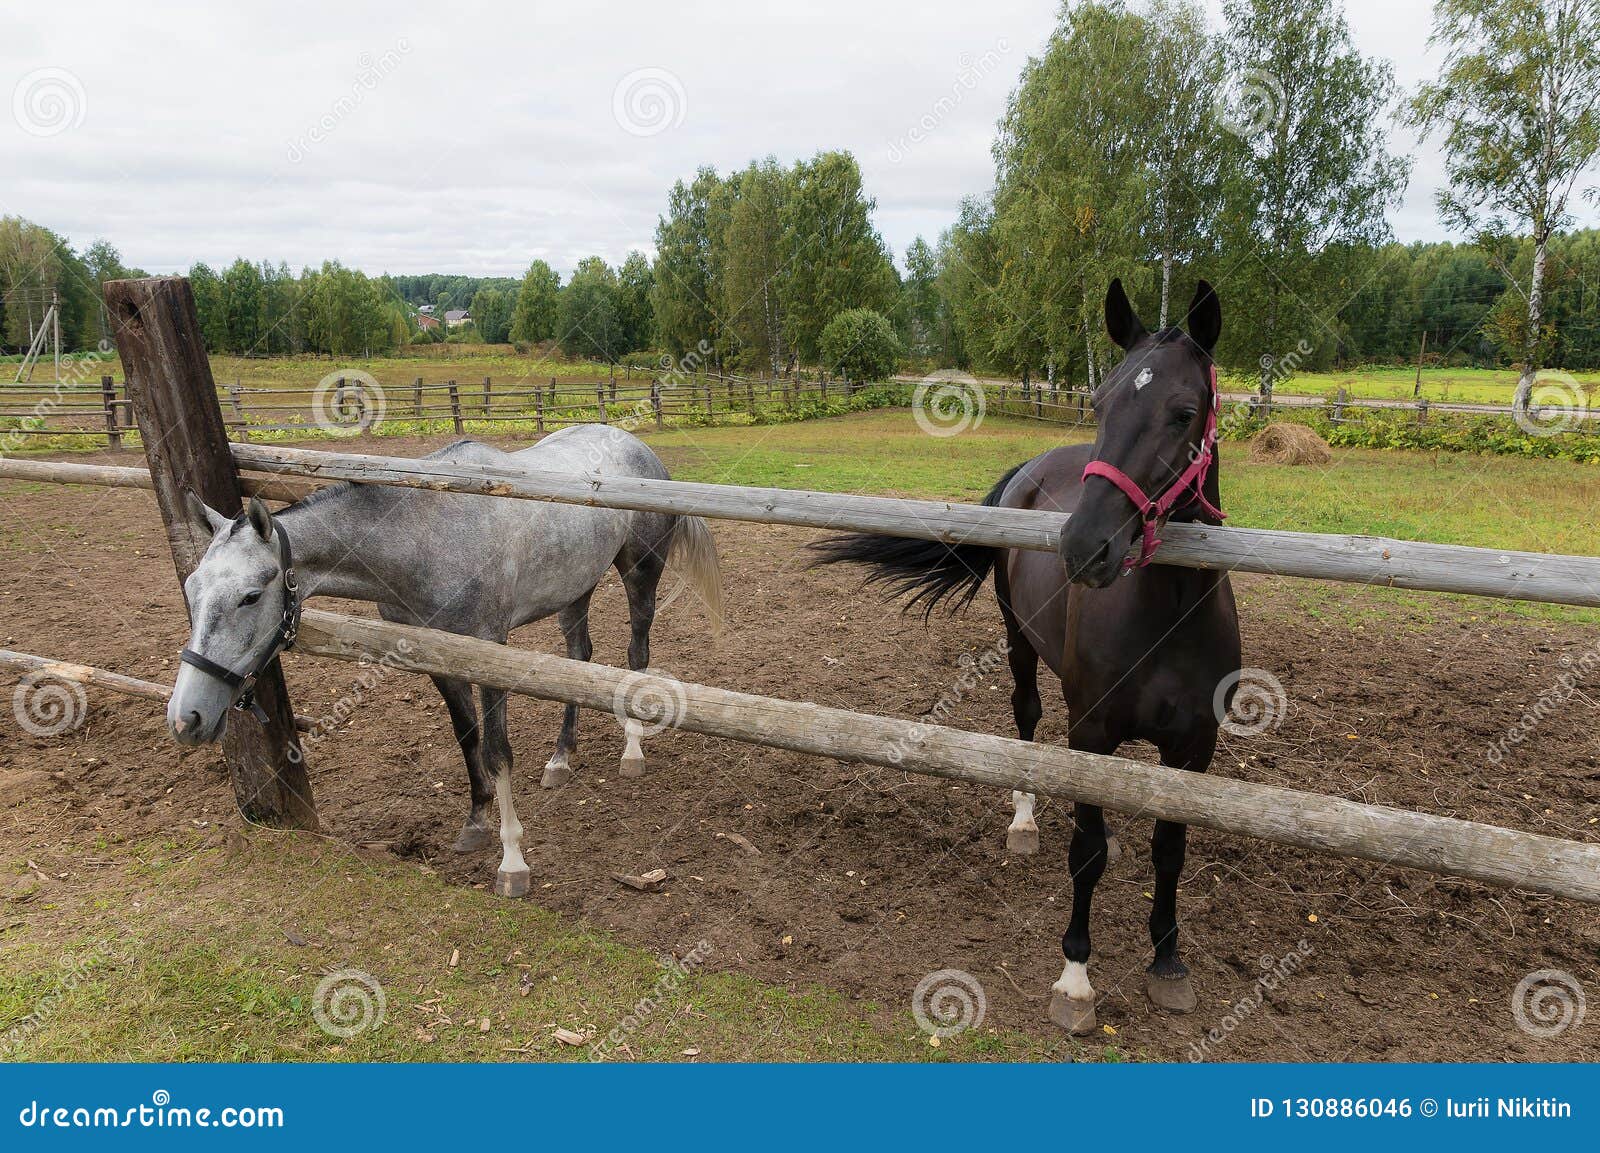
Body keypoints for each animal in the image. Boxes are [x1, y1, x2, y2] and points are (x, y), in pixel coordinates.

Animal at [165, 424, 724, 898]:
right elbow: (467, 736)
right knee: (577, 659)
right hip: (576, 588)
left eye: (251, 596)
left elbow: (497, 750)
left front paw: (512, 863)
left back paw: (632, 750)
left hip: (640, 572)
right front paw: (476, 822)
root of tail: (638, 447)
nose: (186, 717)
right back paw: (561, 758)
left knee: (636, 654)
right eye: (190, 588)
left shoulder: (490, 651)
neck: (427, 536)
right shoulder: (436, 656)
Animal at [811, 280, 1241, 1035]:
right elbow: (1086, 854)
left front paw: (1167, 960)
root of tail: (1037, 468)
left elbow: (1171, 850)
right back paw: (1025, 818)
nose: (1086, 546)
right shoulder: (1090, 730)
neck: (1169, 614)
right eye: (1100, 402)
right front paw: (1075, 978)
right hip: (1020, 647)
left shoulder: (1195, 748)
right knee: (1026, 721)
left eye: (1184, 412)